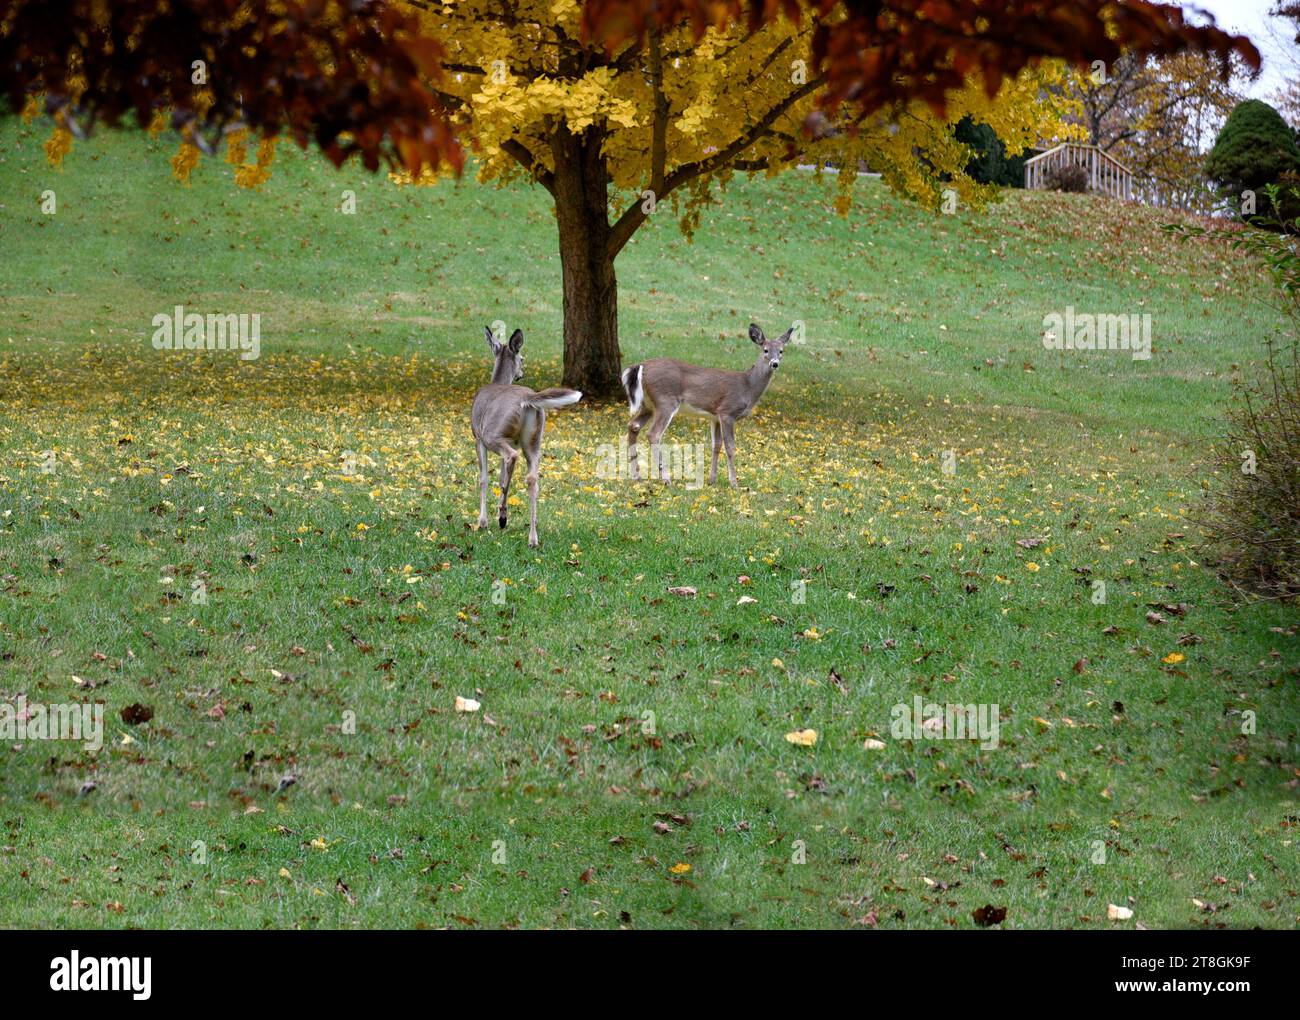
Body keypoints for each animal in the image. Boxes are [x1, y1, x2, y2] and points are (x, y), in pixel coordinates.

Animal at [471, 326, 582, 548]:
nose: (521, 373)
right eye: (522, 358)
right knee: (532, 478)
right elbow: (500, 476)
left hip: (492, 435)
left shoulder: (478, 437)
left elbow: (484, 478)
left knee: (512, 457)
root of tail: (528, 399)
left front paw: (483, 521)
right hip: (533, 440)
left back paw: (503, 517)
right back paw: (531, 536)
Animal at [620, 322, 794, 488]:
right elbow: (730, 447)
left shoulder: (715, 417)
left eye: (781, 351)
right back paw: (666, 479)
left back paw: (636, 476)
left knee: (633, 425)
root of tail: (641, 366)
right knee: (653, 434)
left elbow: (716, 445)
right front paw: (734, 483)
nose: (775, 364)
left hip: (648, 405)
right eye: (765, 350)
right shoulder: (727, 412)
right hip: (665, 401)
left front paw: (712, 480)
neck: (747, 387)